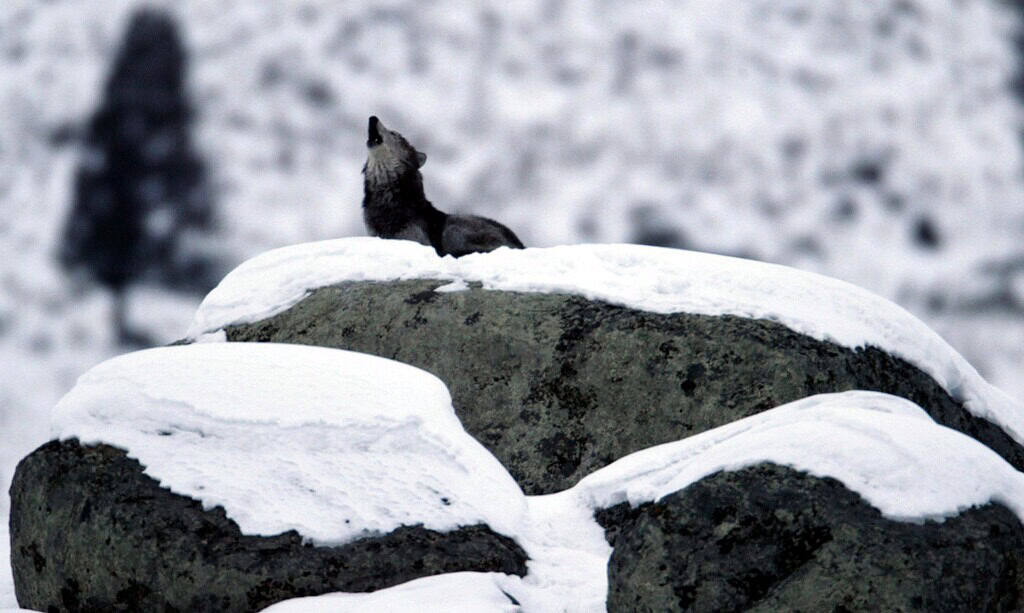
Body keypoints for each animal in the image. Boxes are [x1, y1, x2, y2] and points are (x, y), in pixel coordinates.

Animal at [362, 116, 524, 257]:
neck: (388, 197)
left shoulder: (416, 240)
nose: (372, 118)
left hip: (453, 227)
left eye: (394, 133)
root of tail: (520, 246)